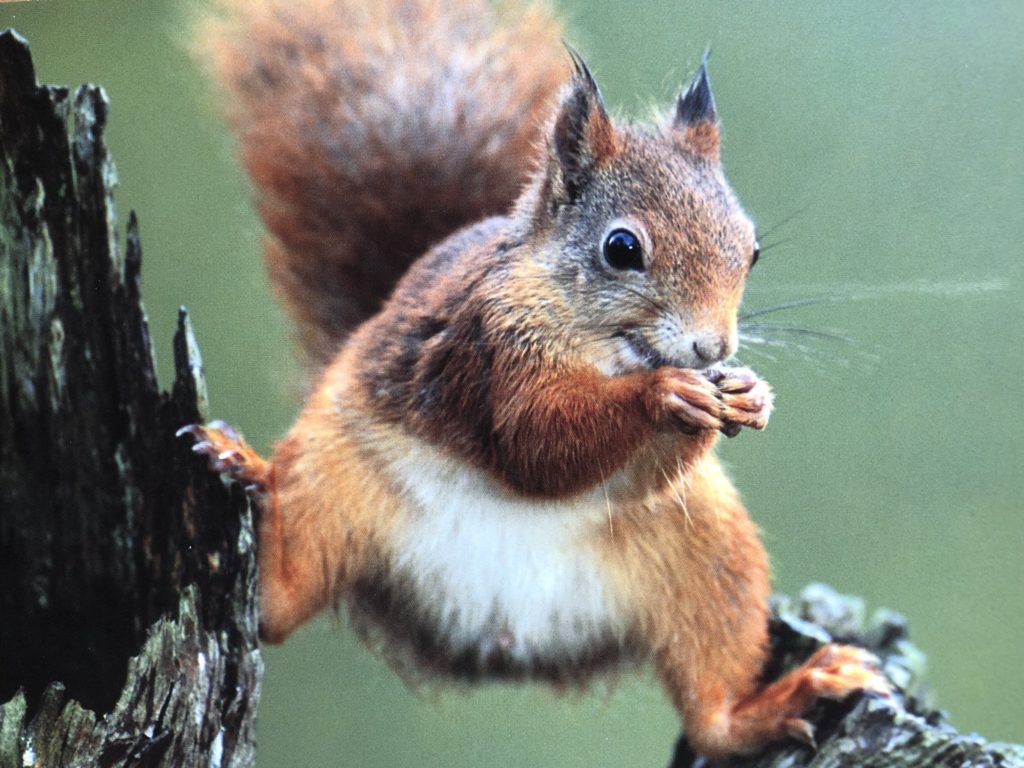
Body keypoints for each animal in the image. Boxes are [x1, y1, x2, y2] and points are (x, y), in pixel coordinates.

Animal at [184, 0, 890, 757]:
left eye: (751, 250)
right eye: (622, 248)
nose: (711, 347)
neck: (603, 347)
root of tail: (497, 634)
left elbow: (629, 472)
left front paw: (749, 395)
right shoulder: (490, 348)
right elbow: (538, 444)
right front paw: (665, 395)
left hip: (709, 554)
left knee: (711, 716)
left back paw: (784, 697)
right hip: (328, 480)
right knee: (276, 609)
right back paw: (243, 471)